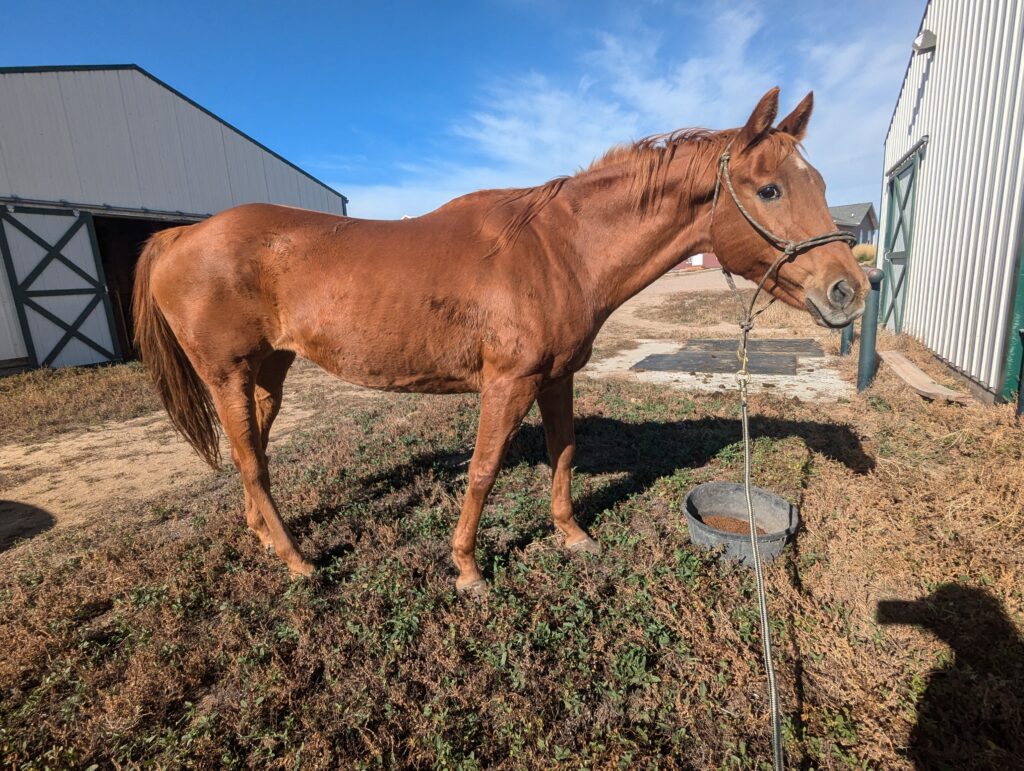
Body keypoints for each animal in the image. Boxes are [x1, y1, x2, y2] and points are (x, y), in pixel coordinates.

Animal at [133, 88, 868, 594]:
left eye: (818, 183)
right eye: (768, 189)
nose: (849, 289)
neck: (560, 249)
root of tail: (183, 235)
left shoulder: (557, 378)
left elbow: (563, 452)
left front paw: (572, 535)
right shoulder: (507, 384)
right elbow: (484, 471)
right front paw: (467, 568)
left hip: (268, 372)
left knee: (250, 453)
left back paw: (264, 538)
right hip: (228, 374)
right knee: (252, 462)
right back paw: (297, 561)